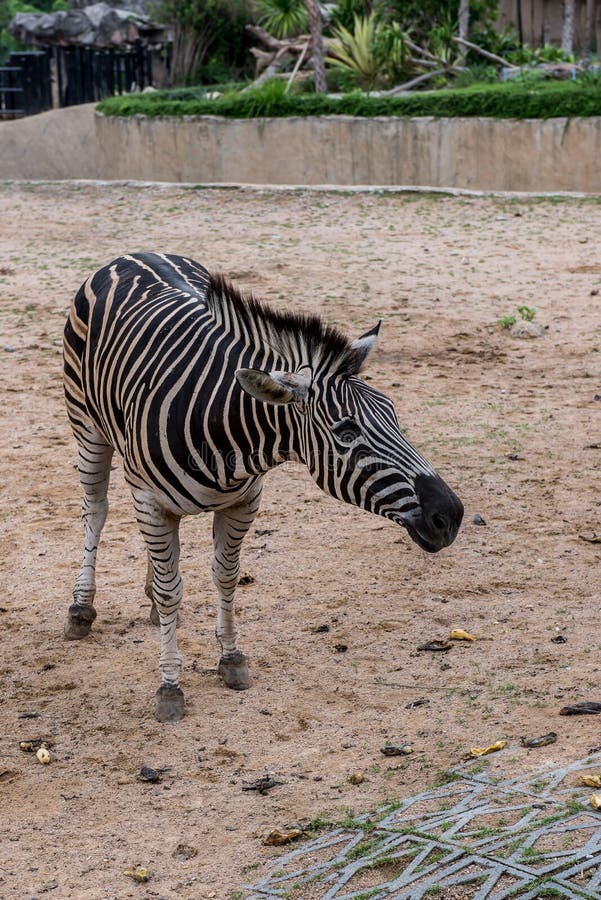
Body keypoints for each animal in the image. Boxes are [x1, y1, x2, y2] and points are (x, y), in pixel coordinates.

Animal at [63, 252, 463, 723]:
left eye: (393, 414)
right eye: (346, 432)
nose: (451, 515)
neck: (222, 428)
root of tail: (136, 253)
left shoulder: (243, 502)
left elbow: (225, 576)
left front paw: (231, 659)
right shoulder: (150, 500)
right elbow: (170, 590)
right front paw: (170, 687)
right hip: (87, 427)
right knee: (96, 510)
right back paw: (81, 608)